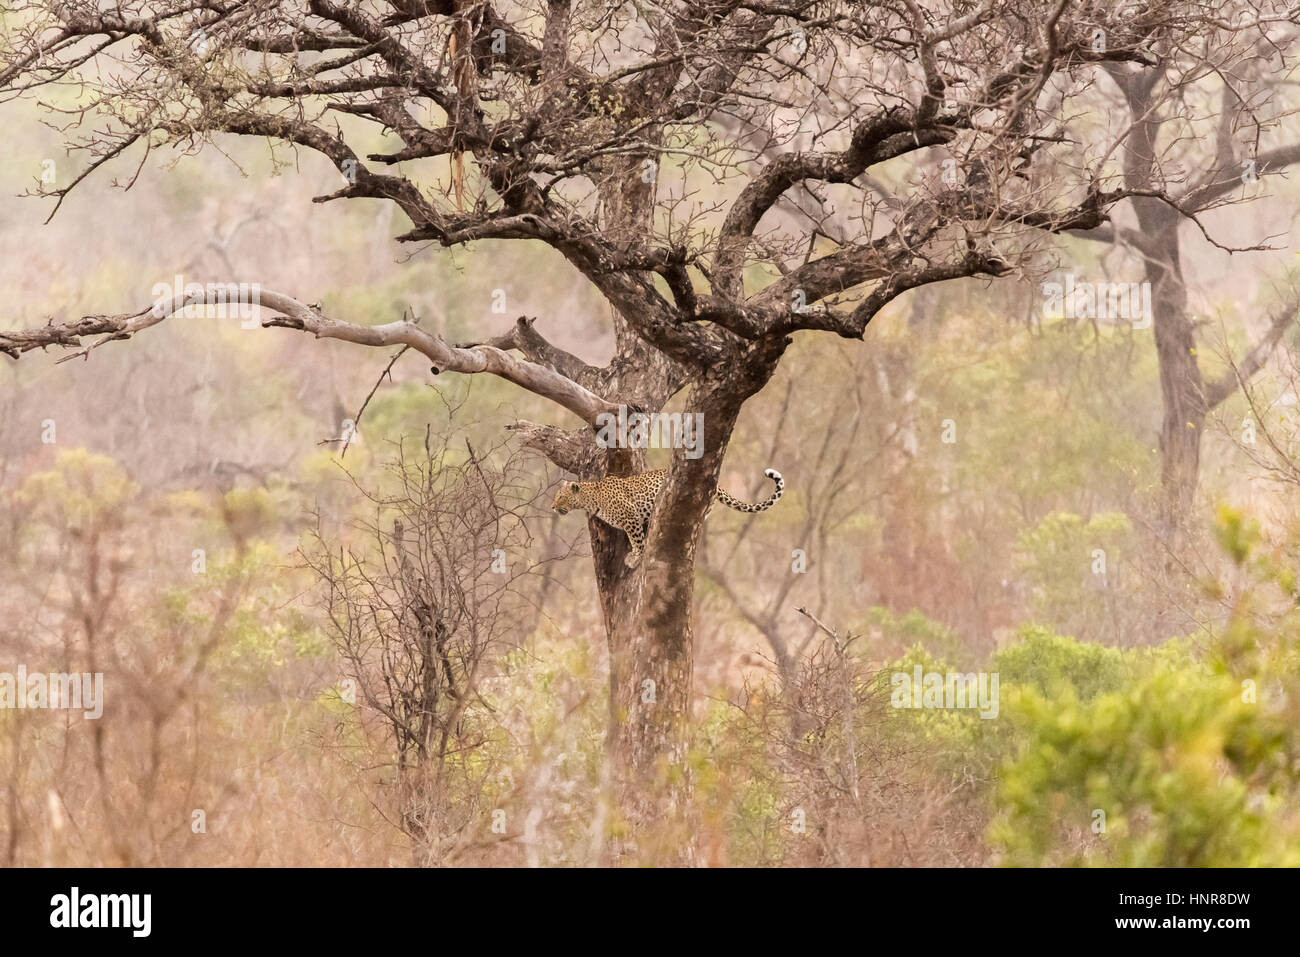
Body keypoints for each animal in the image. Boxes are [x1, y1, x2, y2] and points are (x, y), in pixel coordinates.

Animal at [552, 467, 784, 568]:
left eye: (560, 497)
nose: (553, 506)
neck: (591, 498)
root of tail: (717, 485)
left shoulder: (630, 516)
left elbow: (637, 540)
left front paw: (635, 557)